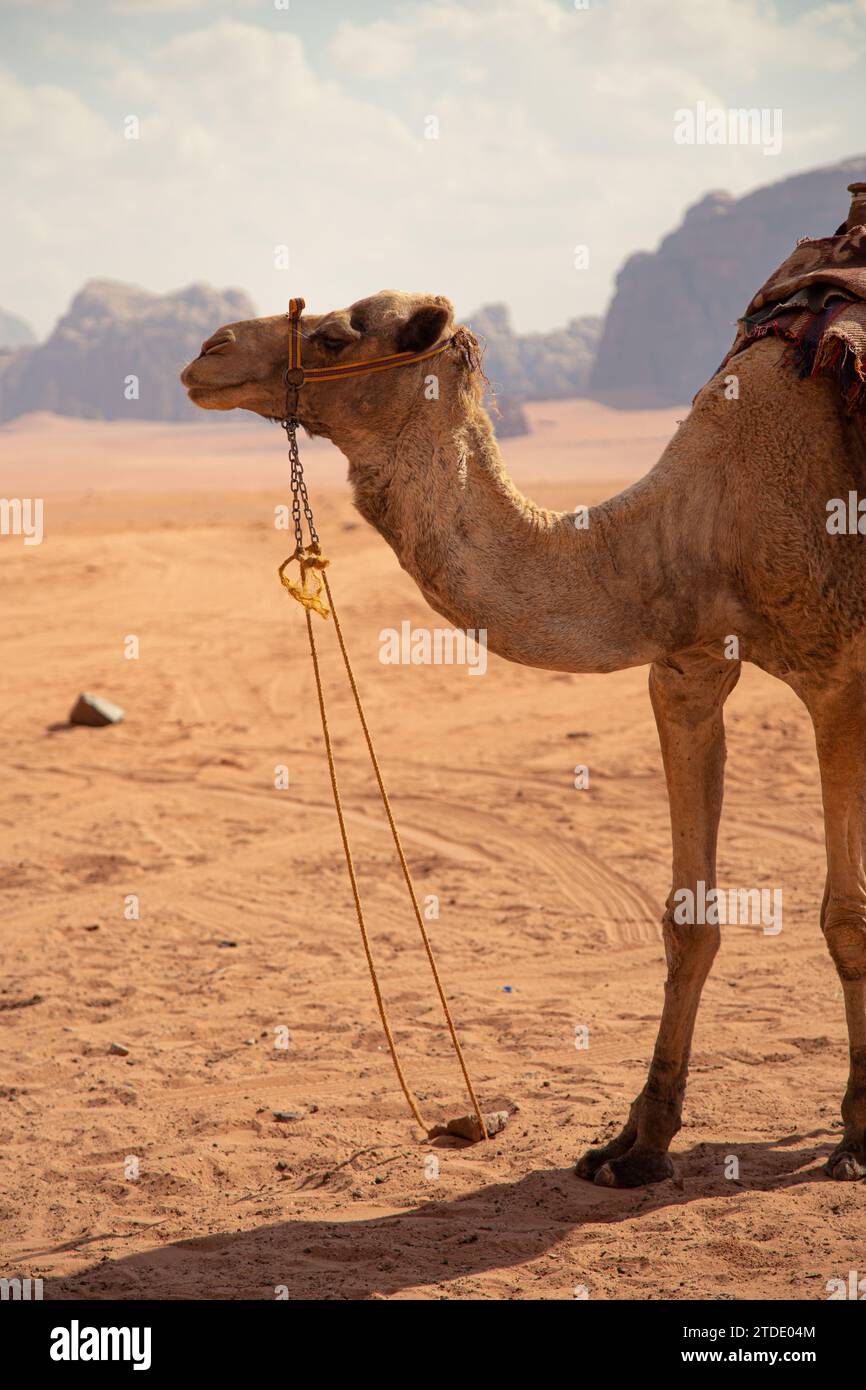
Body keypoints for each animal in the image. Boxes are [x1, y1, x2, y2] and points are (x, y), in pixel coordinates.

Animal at [180, 185, 866, 1188]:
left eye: (341, 335)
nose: (208, 351)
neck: (708, 515)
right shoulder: (687, 666)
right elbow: (686, 918)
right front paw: (636, 1143)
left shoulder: (840, 673)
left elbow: (846, 913)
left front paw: (857, 1135)